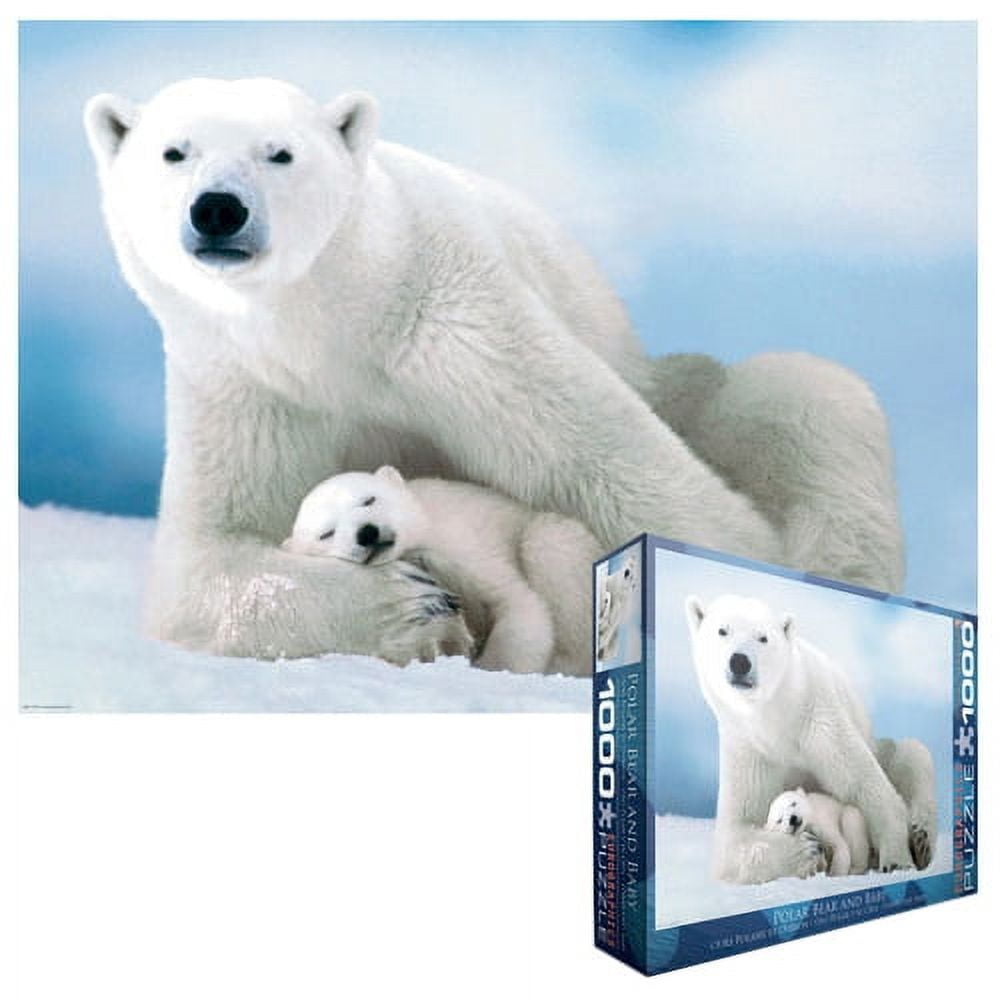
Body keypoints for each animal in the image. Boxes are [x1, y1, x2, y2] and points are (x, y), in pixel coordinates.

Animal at [282, 466, 601, 675]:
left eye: (368, 499)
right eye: (326, 533)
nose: (367, 533)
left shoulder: (461, 541)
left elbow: (516, 602)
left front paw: (493, 668)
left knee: (549, 541)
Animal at [684, 593, 937, 884]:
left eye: (763, 638)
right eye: (722, 631)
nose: (739, 661)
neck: (777, 719)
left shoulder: (818, 719)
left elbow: (865, 785)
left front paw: (896, 861)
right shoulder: (749, 744)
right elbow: (737, 830)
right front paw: (803, 851)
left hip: (878, 746)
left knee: (911, 753)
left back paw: (921, 839)